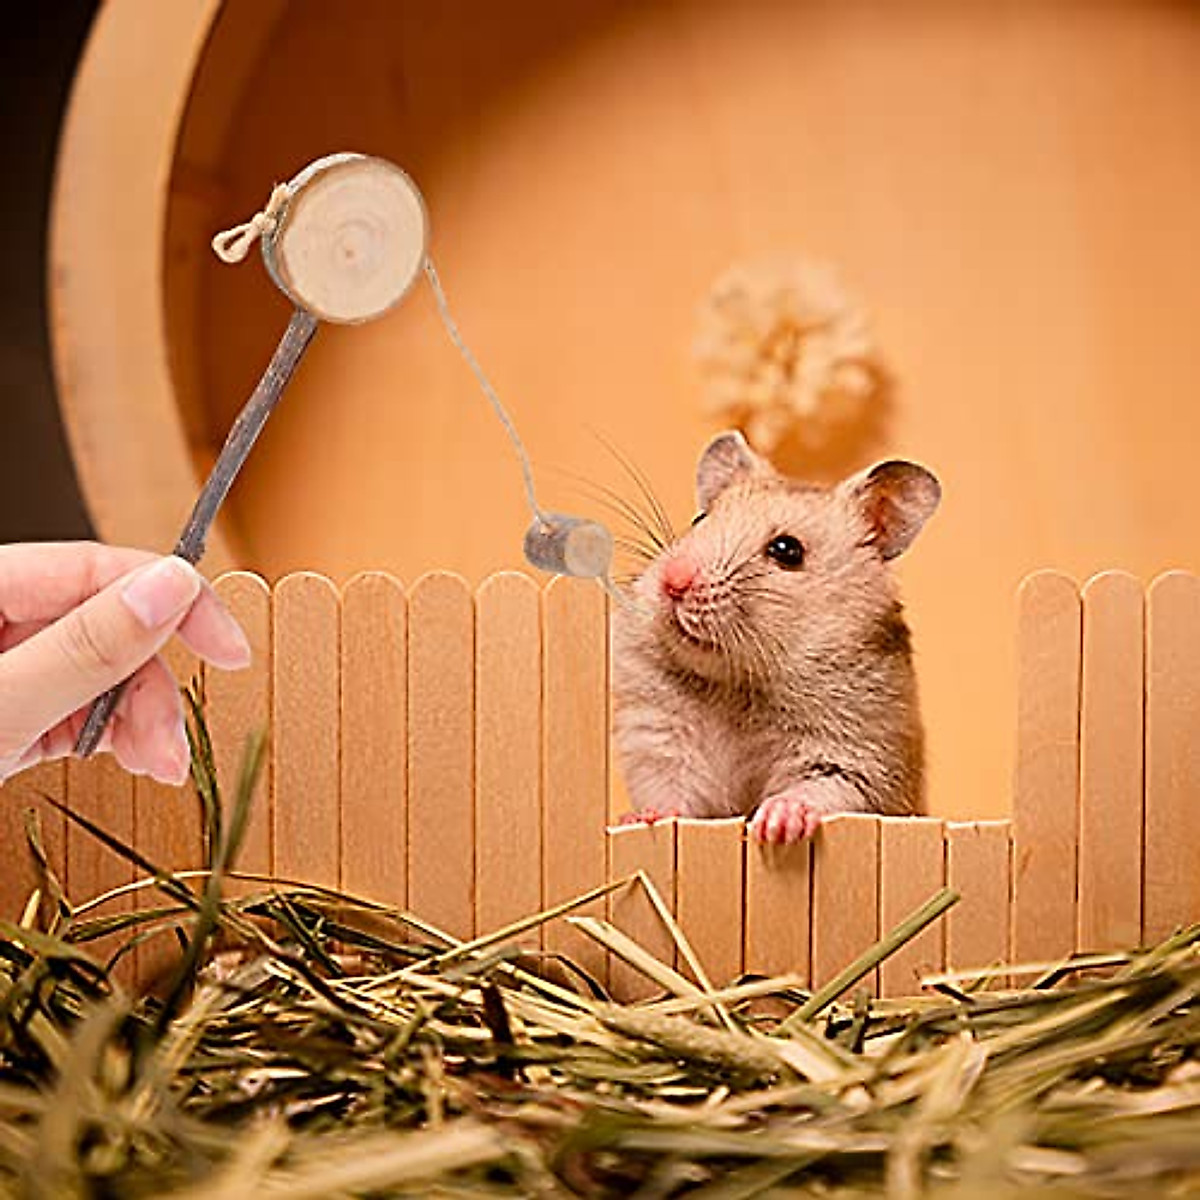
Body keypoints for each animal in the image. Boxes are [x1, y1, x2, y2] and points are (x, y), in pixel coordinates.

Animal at [612, 431, 940, 844]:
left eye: (787, 550)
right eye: (699, 519)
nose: (673, 580)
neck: (734, 683)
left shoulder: (855, 758)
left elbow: (817, 789)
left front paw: (775, 824)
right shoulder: (657, 740)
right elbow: (670, 792)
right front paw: (643, 819)